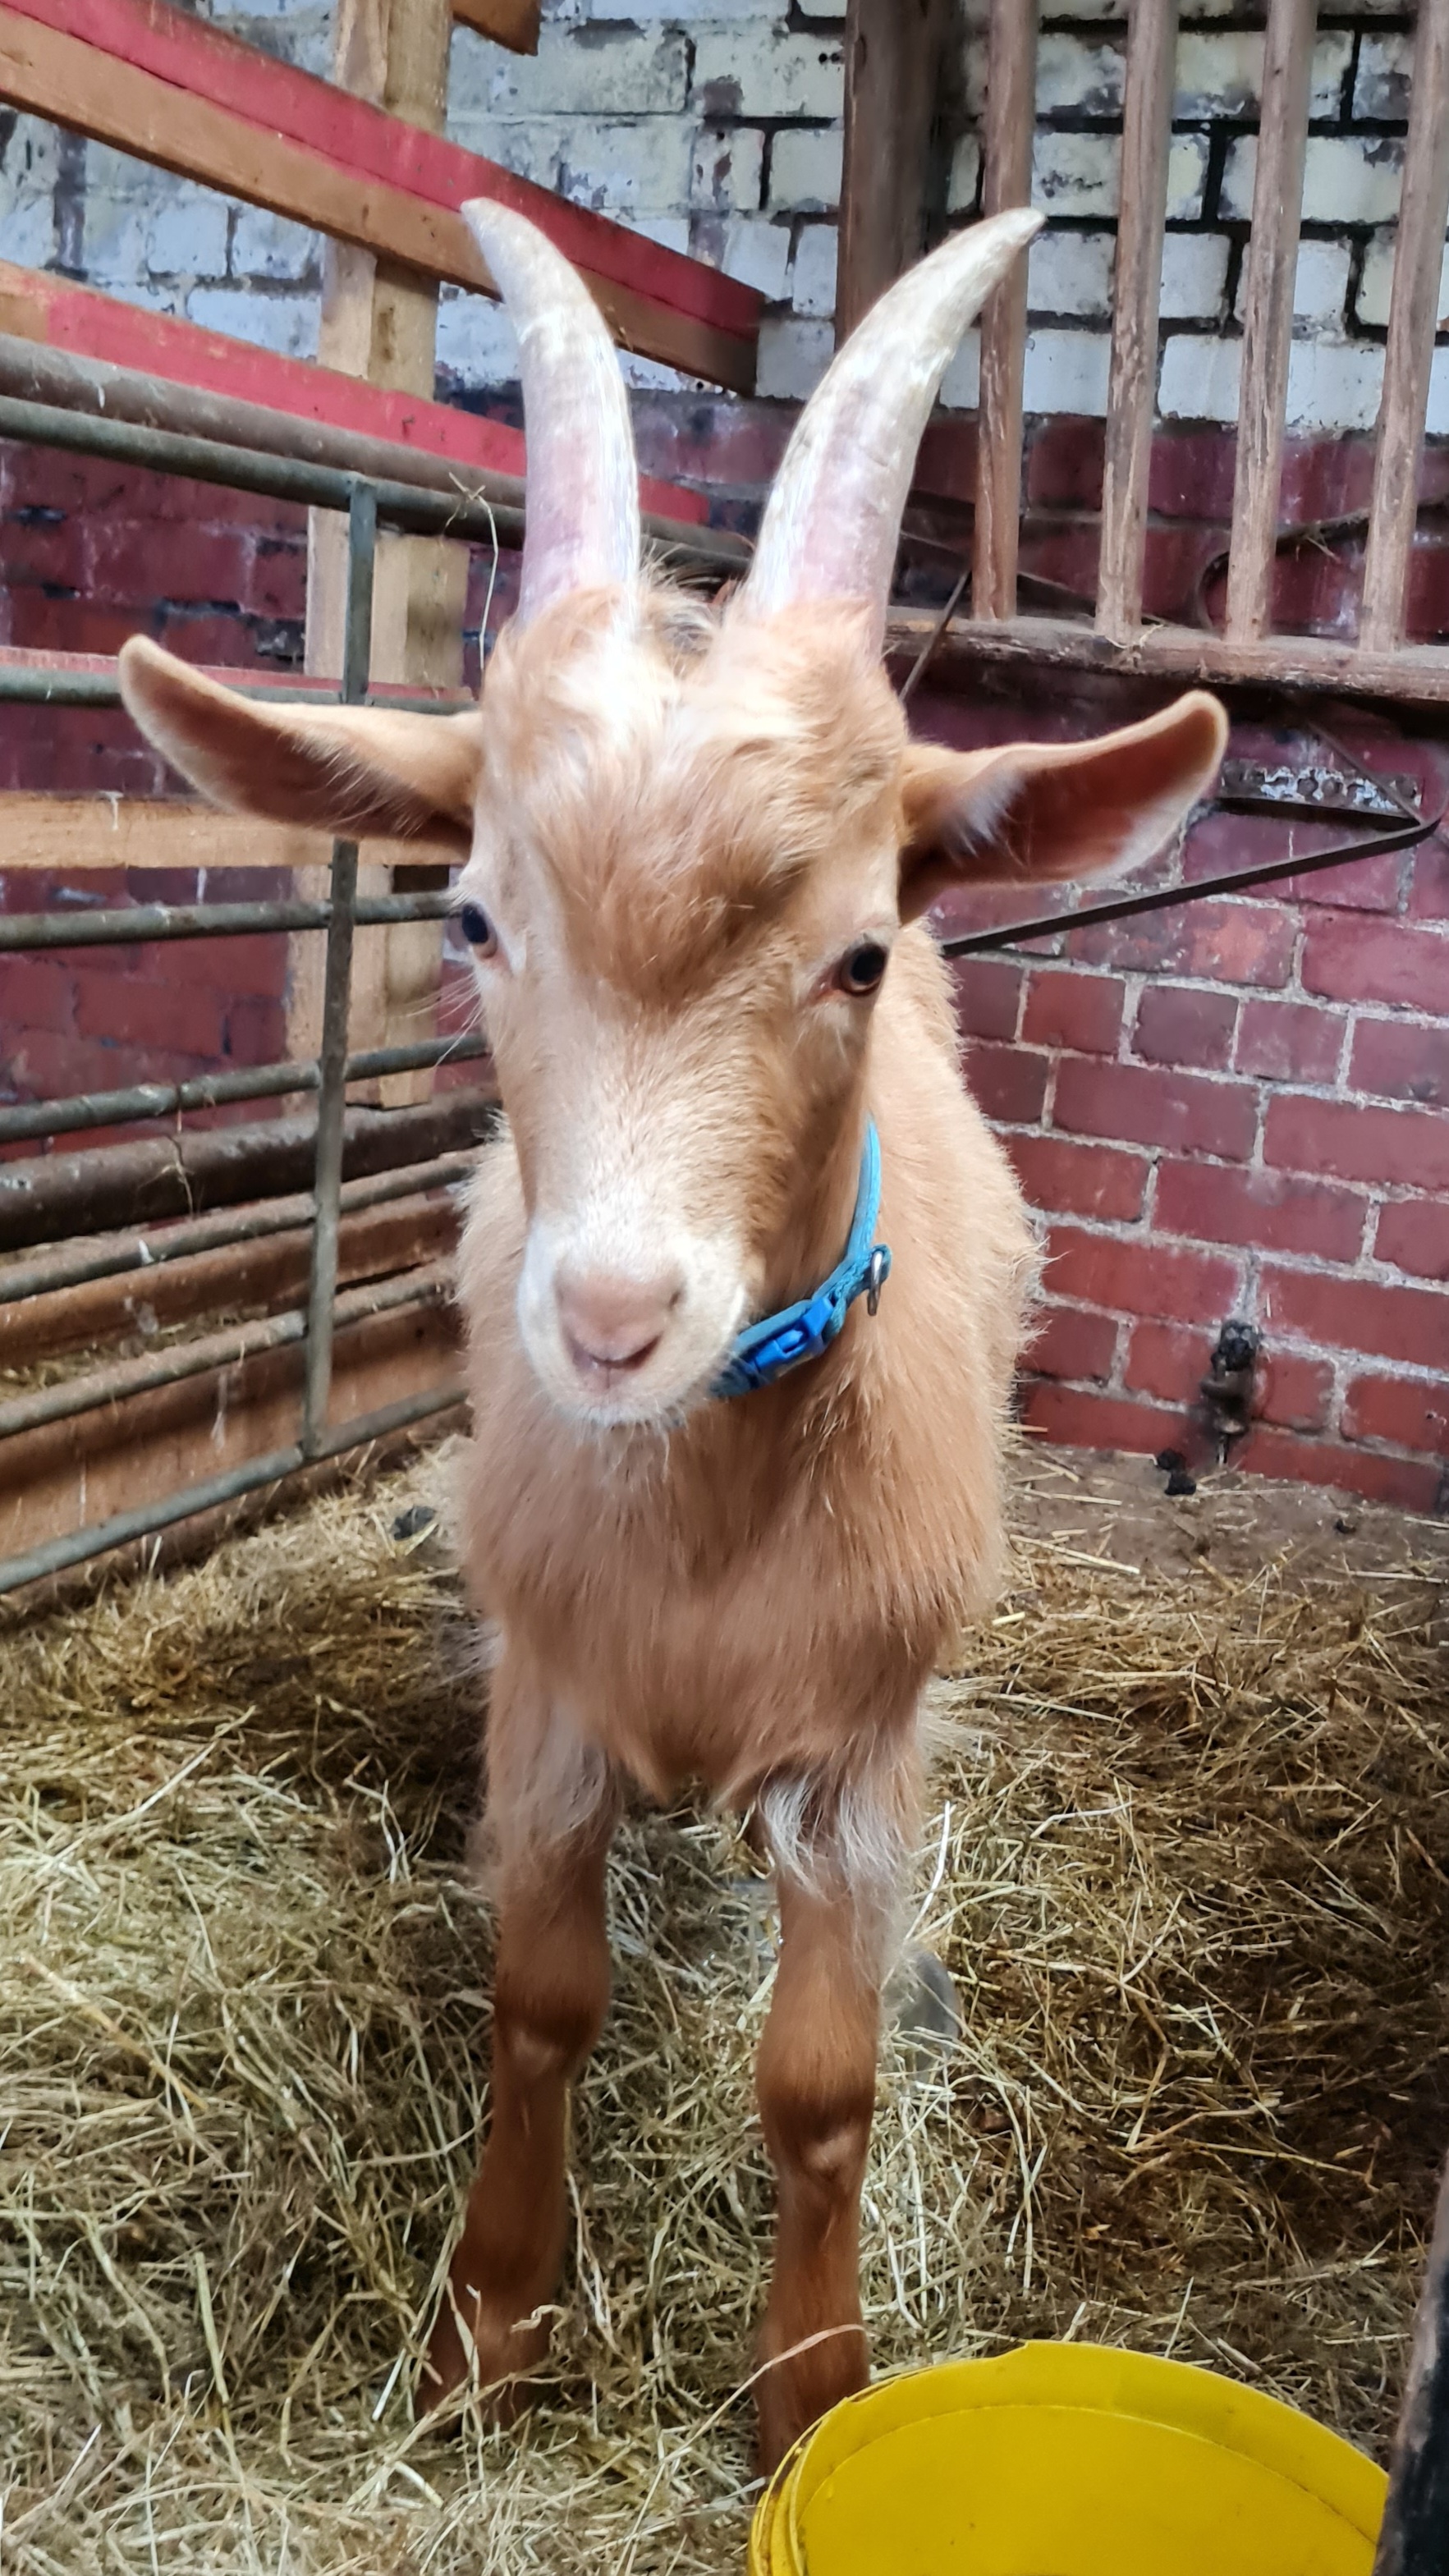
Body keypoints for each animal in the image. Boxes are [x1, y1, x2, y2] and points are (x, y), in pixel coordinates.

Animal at [118, 202, 1227, 2467]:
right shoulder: (554, 1692)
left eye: (860, 952)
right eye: (471, 918)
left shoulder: (862, 1742)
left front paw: (811, 2387)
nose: (616, 1317)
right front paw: (486, 2331)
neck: (712, 1515)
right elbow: (541, 1998)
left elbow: (819, 2081)